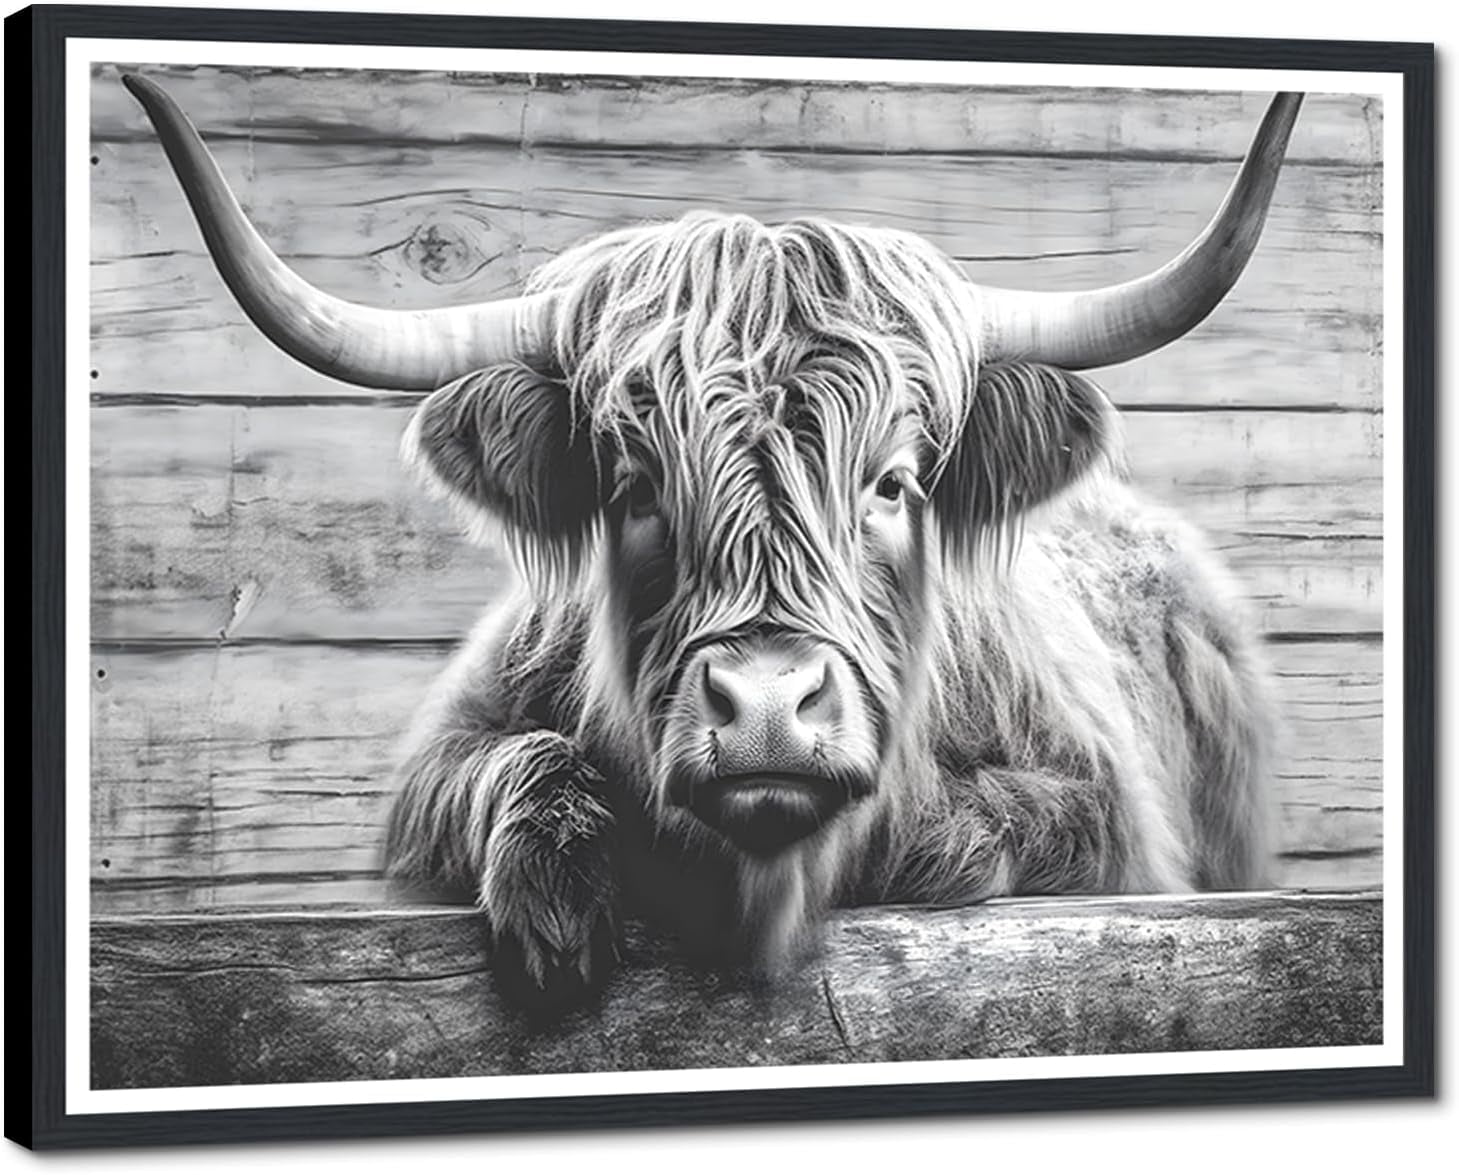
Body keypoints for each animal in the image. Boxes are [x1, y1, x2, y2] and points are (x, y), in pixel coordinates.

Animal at [126, 75, 1298, 1005]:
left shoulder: (1099, 812)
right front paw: (559, 898)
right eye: (637, 487)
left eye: (890, 482)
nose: (769, 708)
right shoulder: (436, 775)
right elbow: (509, 758)